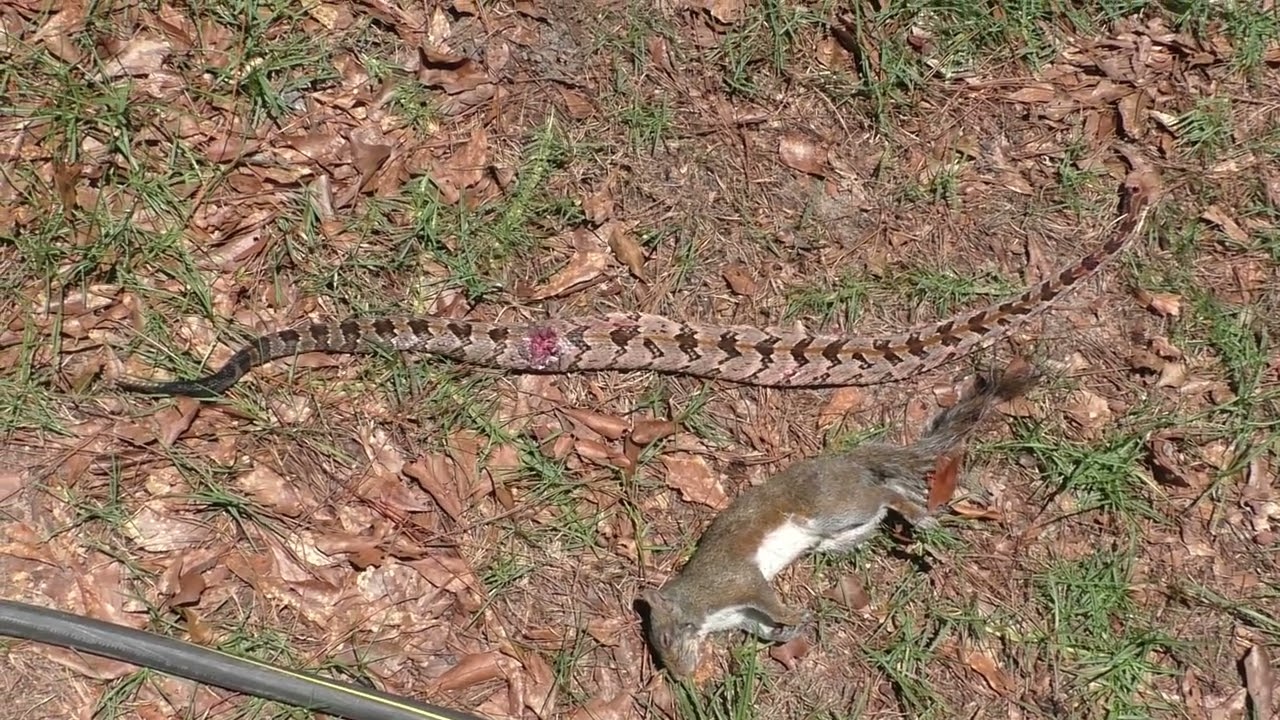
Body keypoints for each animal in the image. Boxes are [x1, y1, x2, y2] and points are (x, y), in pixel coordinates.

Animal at [639, 361, 1039, 679]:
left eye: (665, 637)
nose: (680, 677)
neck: (701, 604)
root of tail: (849, 464)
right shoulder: (739, 614)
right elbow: (761, 624)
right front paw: (786, 631)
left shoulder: (735, 581)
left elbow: (768, 602)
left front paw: (790, 614)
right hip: (839, 533)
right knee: (885, 498)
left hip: (835, 509)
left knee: (882, 495)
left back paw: (915, 515)